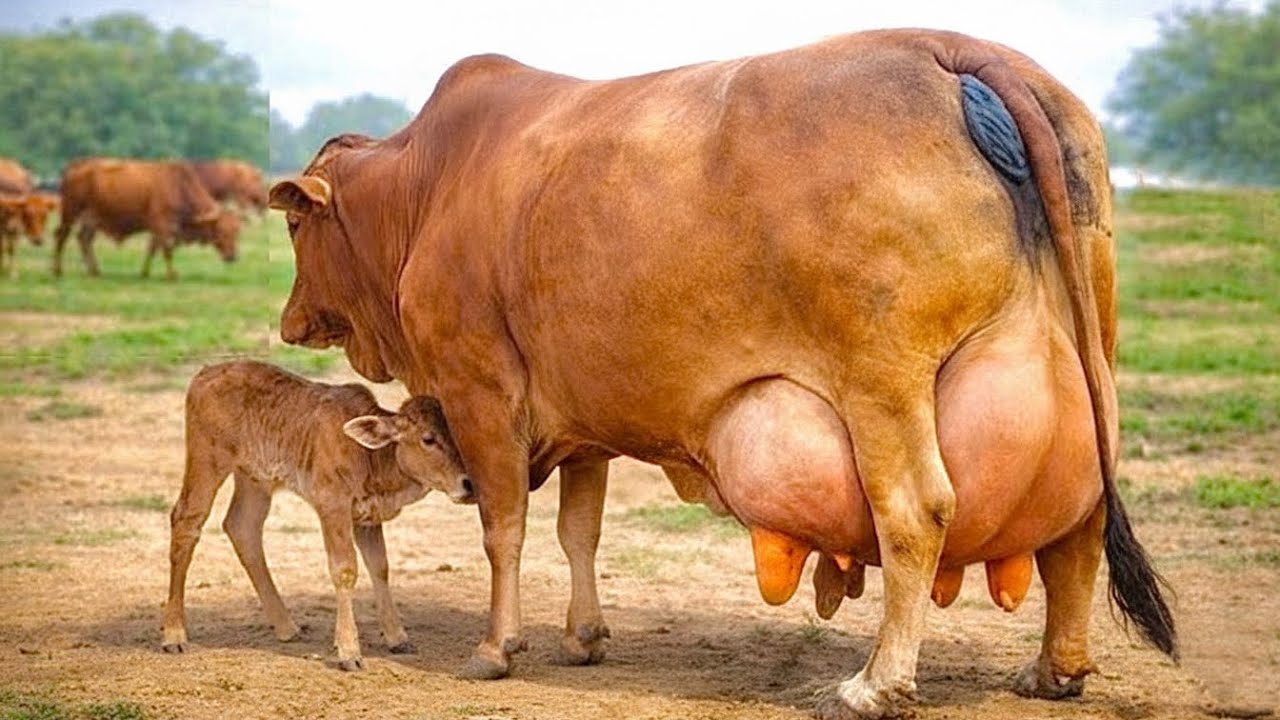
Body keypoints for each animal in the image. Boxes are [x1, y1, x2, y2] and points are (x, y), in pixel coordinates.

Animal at [53, 158, 240, 280]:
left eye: (236, 232)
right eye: (222, 231)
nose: (233, 257)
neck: (178, 187)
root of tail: (74, 167)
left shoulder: (157, 230)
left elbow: (152, 249)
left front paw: (145, 273)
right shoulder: (162, 226)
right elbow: (167, 251)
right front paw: (171, 275)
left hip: (91, 219)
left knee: (84, 239)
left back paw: (94, 271)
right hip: (70, 213)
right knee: (62, 237)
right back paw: (58, 271)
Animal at [162, 360, 475, 670]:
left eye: (457, 435)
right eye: (428, 439)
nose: (468, 484)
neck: (369, 455)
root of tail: (206, 372)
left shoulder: (367, 517)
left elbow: (380, 567)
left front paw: (397, 637)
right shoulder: (332, 506)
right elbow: (345, 569)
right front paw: (349, 651)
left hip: (255, 478)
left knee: (242, 527)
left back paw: (286, 626)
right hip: (207, 463)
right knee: (187, 522)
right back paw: (174, 635)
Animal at [268, 29, 1176, 718]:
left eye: (295, 230)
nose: (289, 320)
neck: (424, 187)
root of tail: (952, 47)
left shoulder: (481, 392)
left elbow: (504, 527)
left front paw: (497, 648)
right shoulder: (586, 418)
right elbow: (579, 531)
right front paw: (584, 636)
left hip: (882, 386)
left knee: (917, 512)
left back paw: (877, 683)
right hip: (1090, 369)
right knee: (1082, 522)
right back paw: (1055, 670)